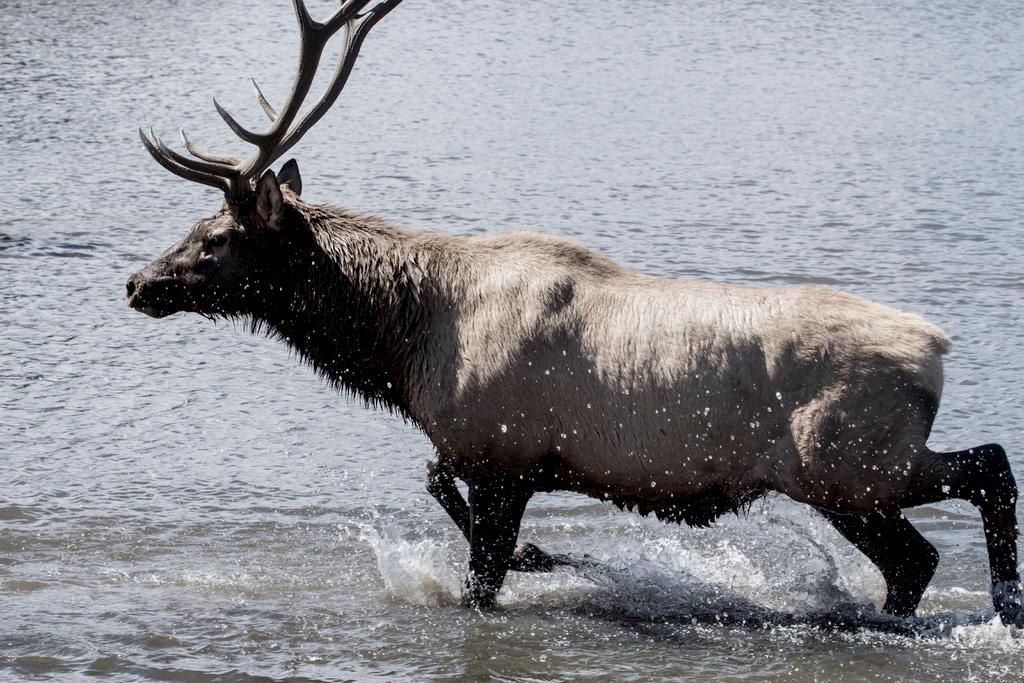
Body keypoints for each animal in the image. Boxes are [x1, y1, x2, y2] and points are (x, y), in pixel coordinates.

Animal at [126, 0, 1023, 626]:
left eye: (212, 238)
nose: (138, 282)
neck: (403, 348)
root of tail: (937, 347)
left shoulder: (504, 451)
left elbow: (476, 571)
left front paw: (533, 554)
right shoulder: (489, 451)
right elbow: (434, 480)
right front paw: (542, 553)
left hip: (847, 465)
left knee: (967, 492)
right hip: (855, 473)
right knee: (930, 537)